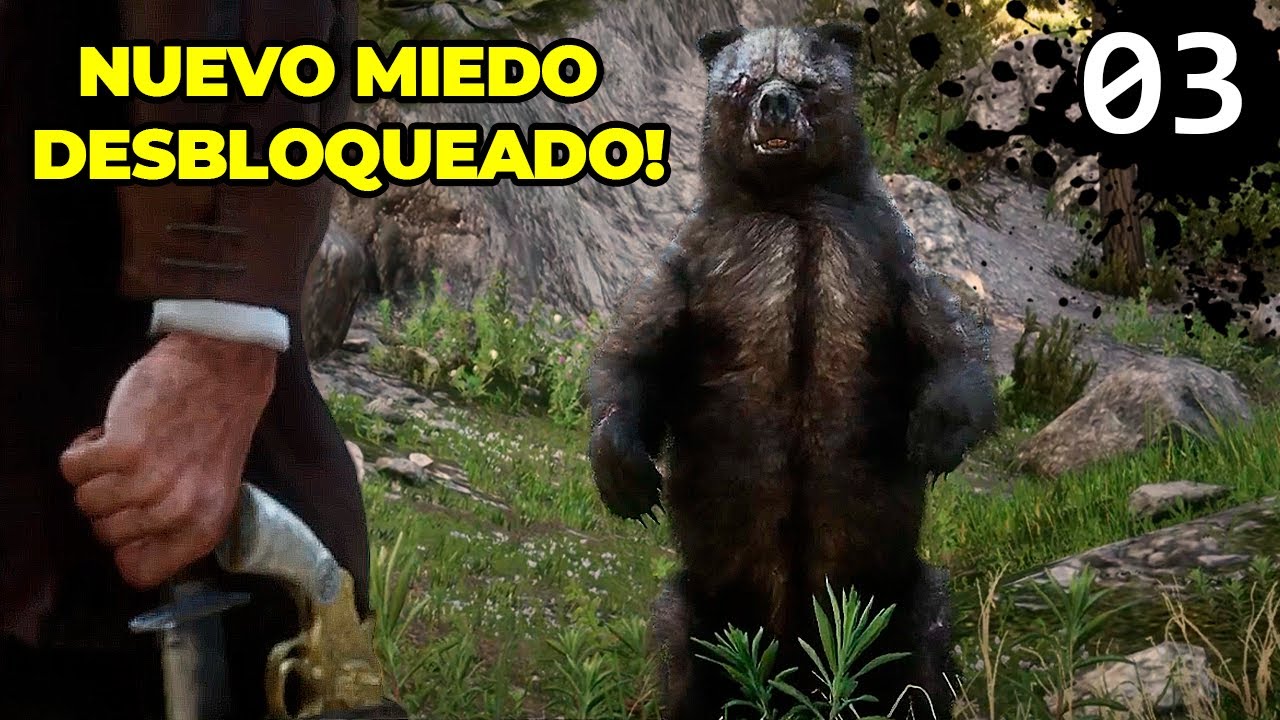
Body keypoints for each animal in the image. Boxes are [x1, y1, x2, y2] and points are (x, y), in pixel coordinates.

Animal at [585, 23, 997, 720]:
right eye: (745, 80)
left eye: (806, 80)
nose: (774, 104)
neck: (792, 205)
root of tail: (799, 673)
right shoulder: (702, 266)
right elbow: (634, 355)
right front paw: (627, 478)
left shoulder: (878, 257)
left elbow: (947, 343)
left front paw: (933, 437)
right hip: (708, 601)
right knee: (681, 642)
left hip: (894, 590)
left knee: (925, 634)